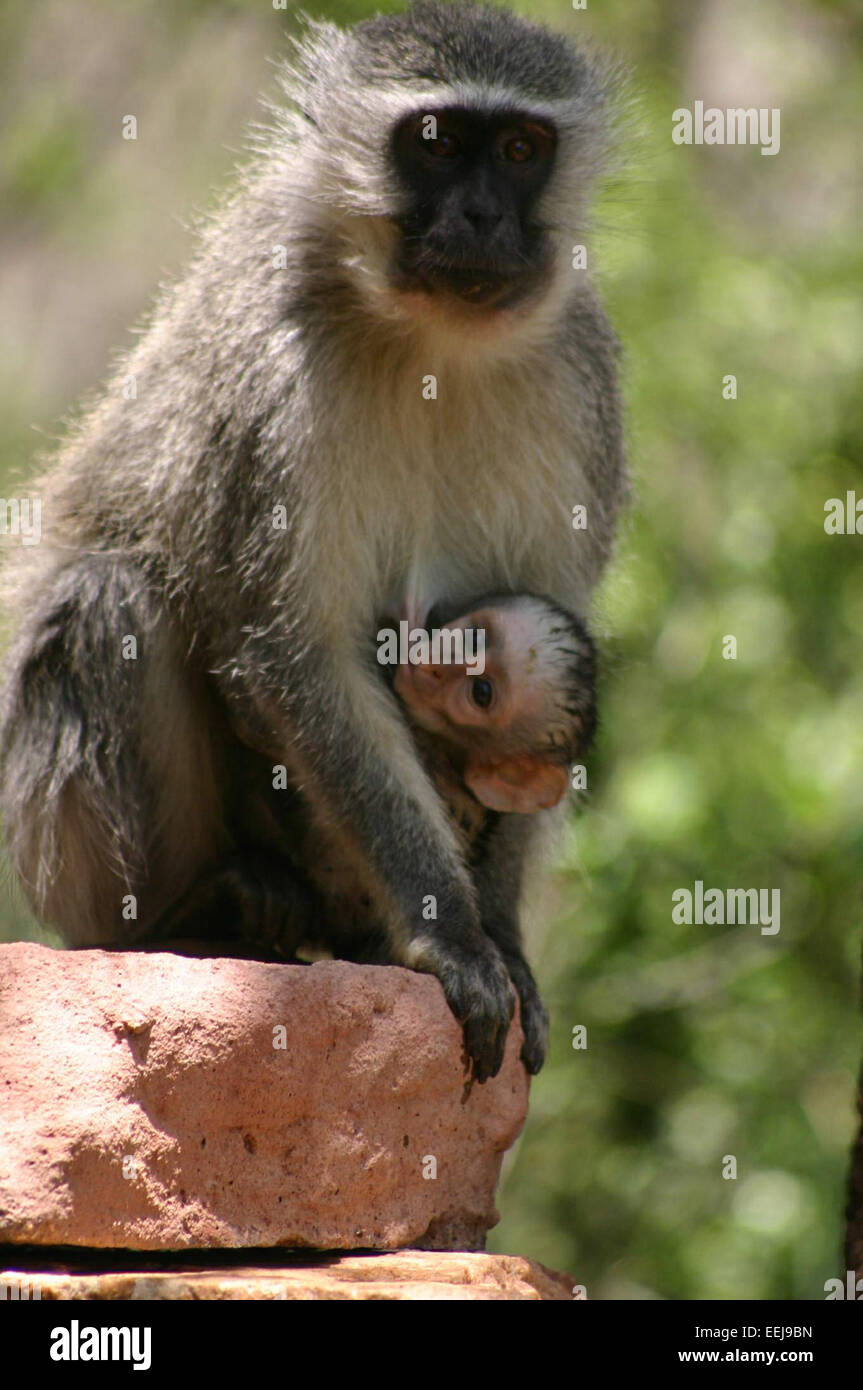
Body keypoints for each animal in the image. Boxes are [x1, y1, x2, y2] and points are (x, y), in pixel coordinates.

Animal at [0, 2, 626, 1083]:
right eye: (433, 143)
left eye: (518, 149)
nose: (481, 219)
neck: (431, 341)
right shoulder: (272, 378)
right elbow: (297, 655)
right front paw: (450, 937)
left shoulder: (579, 380)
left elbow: (543, 658)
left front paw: (502, 935)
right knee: (103, 593)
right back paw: (185, 912)